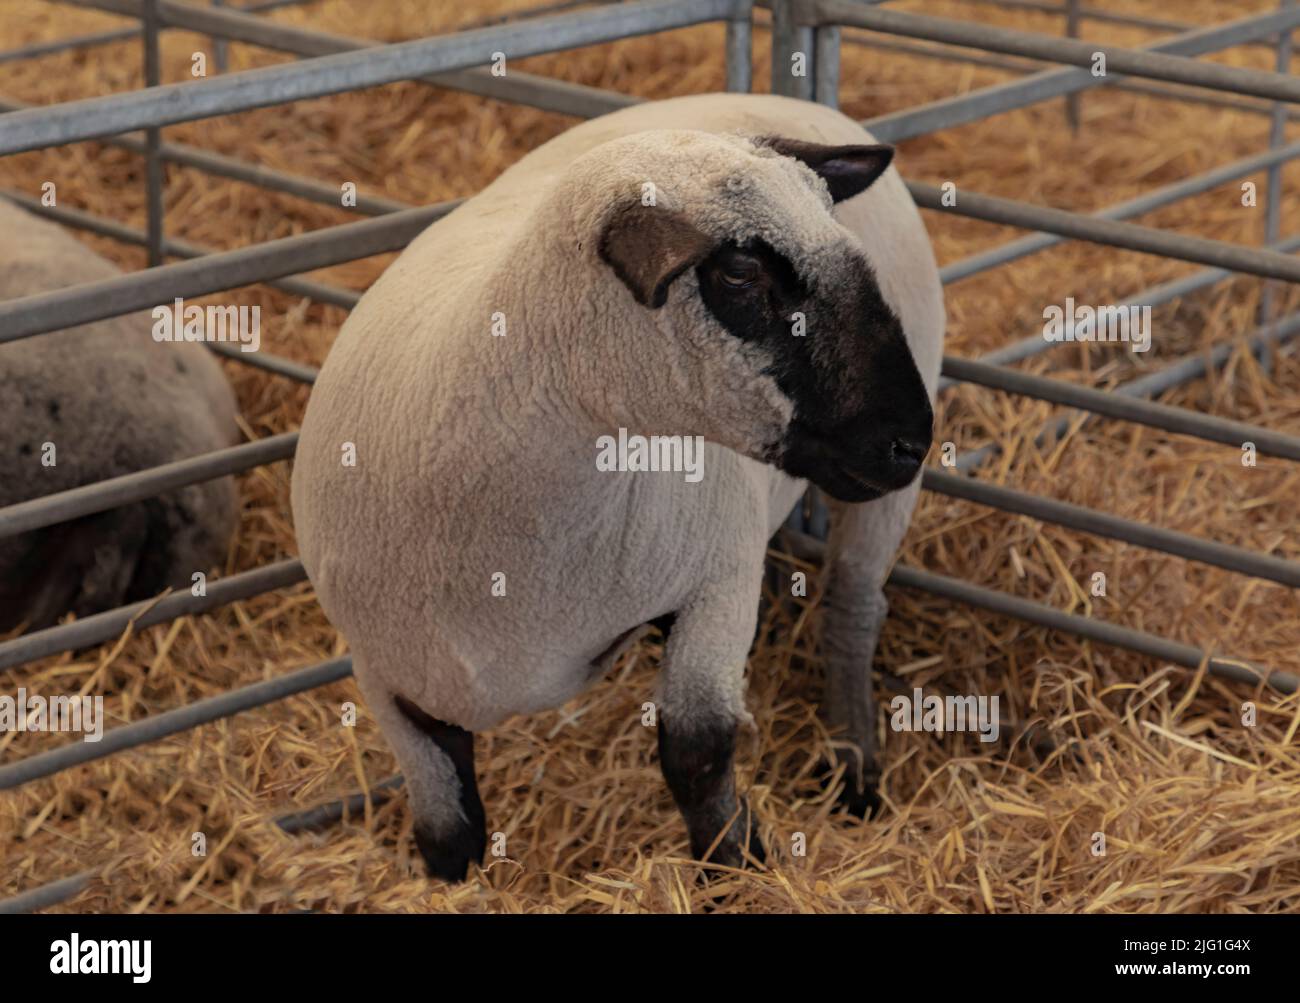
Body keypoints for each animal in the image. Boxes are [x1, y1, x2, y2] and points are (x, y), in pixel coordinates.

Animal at [291, 92, 944, 880]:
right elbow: (447, 828)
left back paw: (854, 774)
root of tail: (792, 99)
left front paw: (735, 868)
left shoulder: (715, 584)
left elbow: (698, 757)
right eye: (738, 274)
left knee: (852, 608)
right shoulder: (386, 678)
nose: (911, 439)